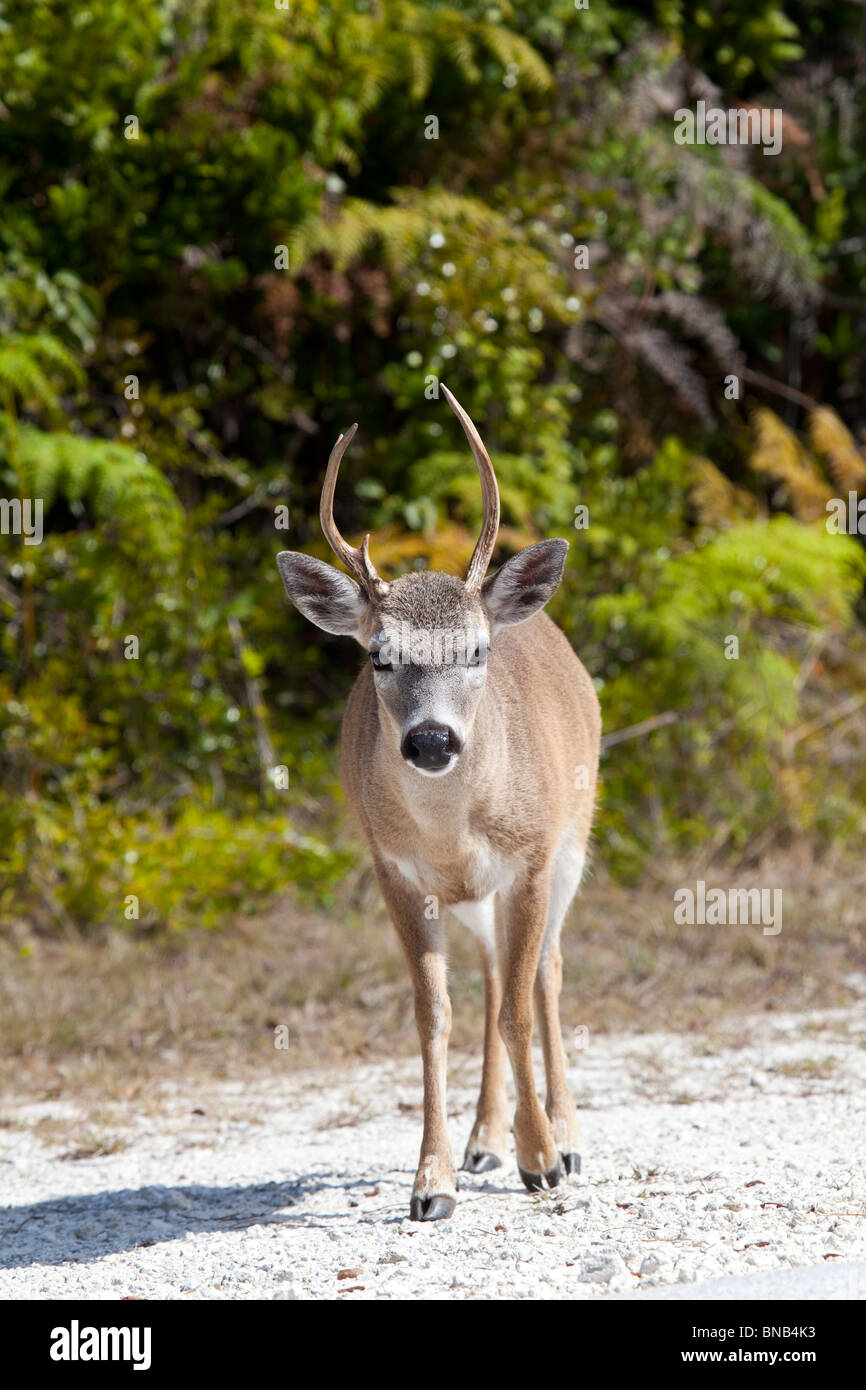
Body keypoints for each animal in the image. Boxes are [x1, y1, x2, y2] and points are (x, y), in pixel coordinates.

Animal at [276, 386, 600, 1221]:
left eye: (477, 650)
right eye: (378, 654)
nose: (429, 740)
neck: (454, 833)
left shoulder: (530, 860)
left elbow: (522, 1003)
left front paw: (542, 1161)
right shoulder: (397, 872)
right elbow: (433, 1015)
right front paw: (433, 1181)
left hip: (572, 846)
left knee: (544, 974)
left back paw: (565, 1137)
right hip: (476, 895)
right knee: (490, 978)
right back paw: (484, 1140)